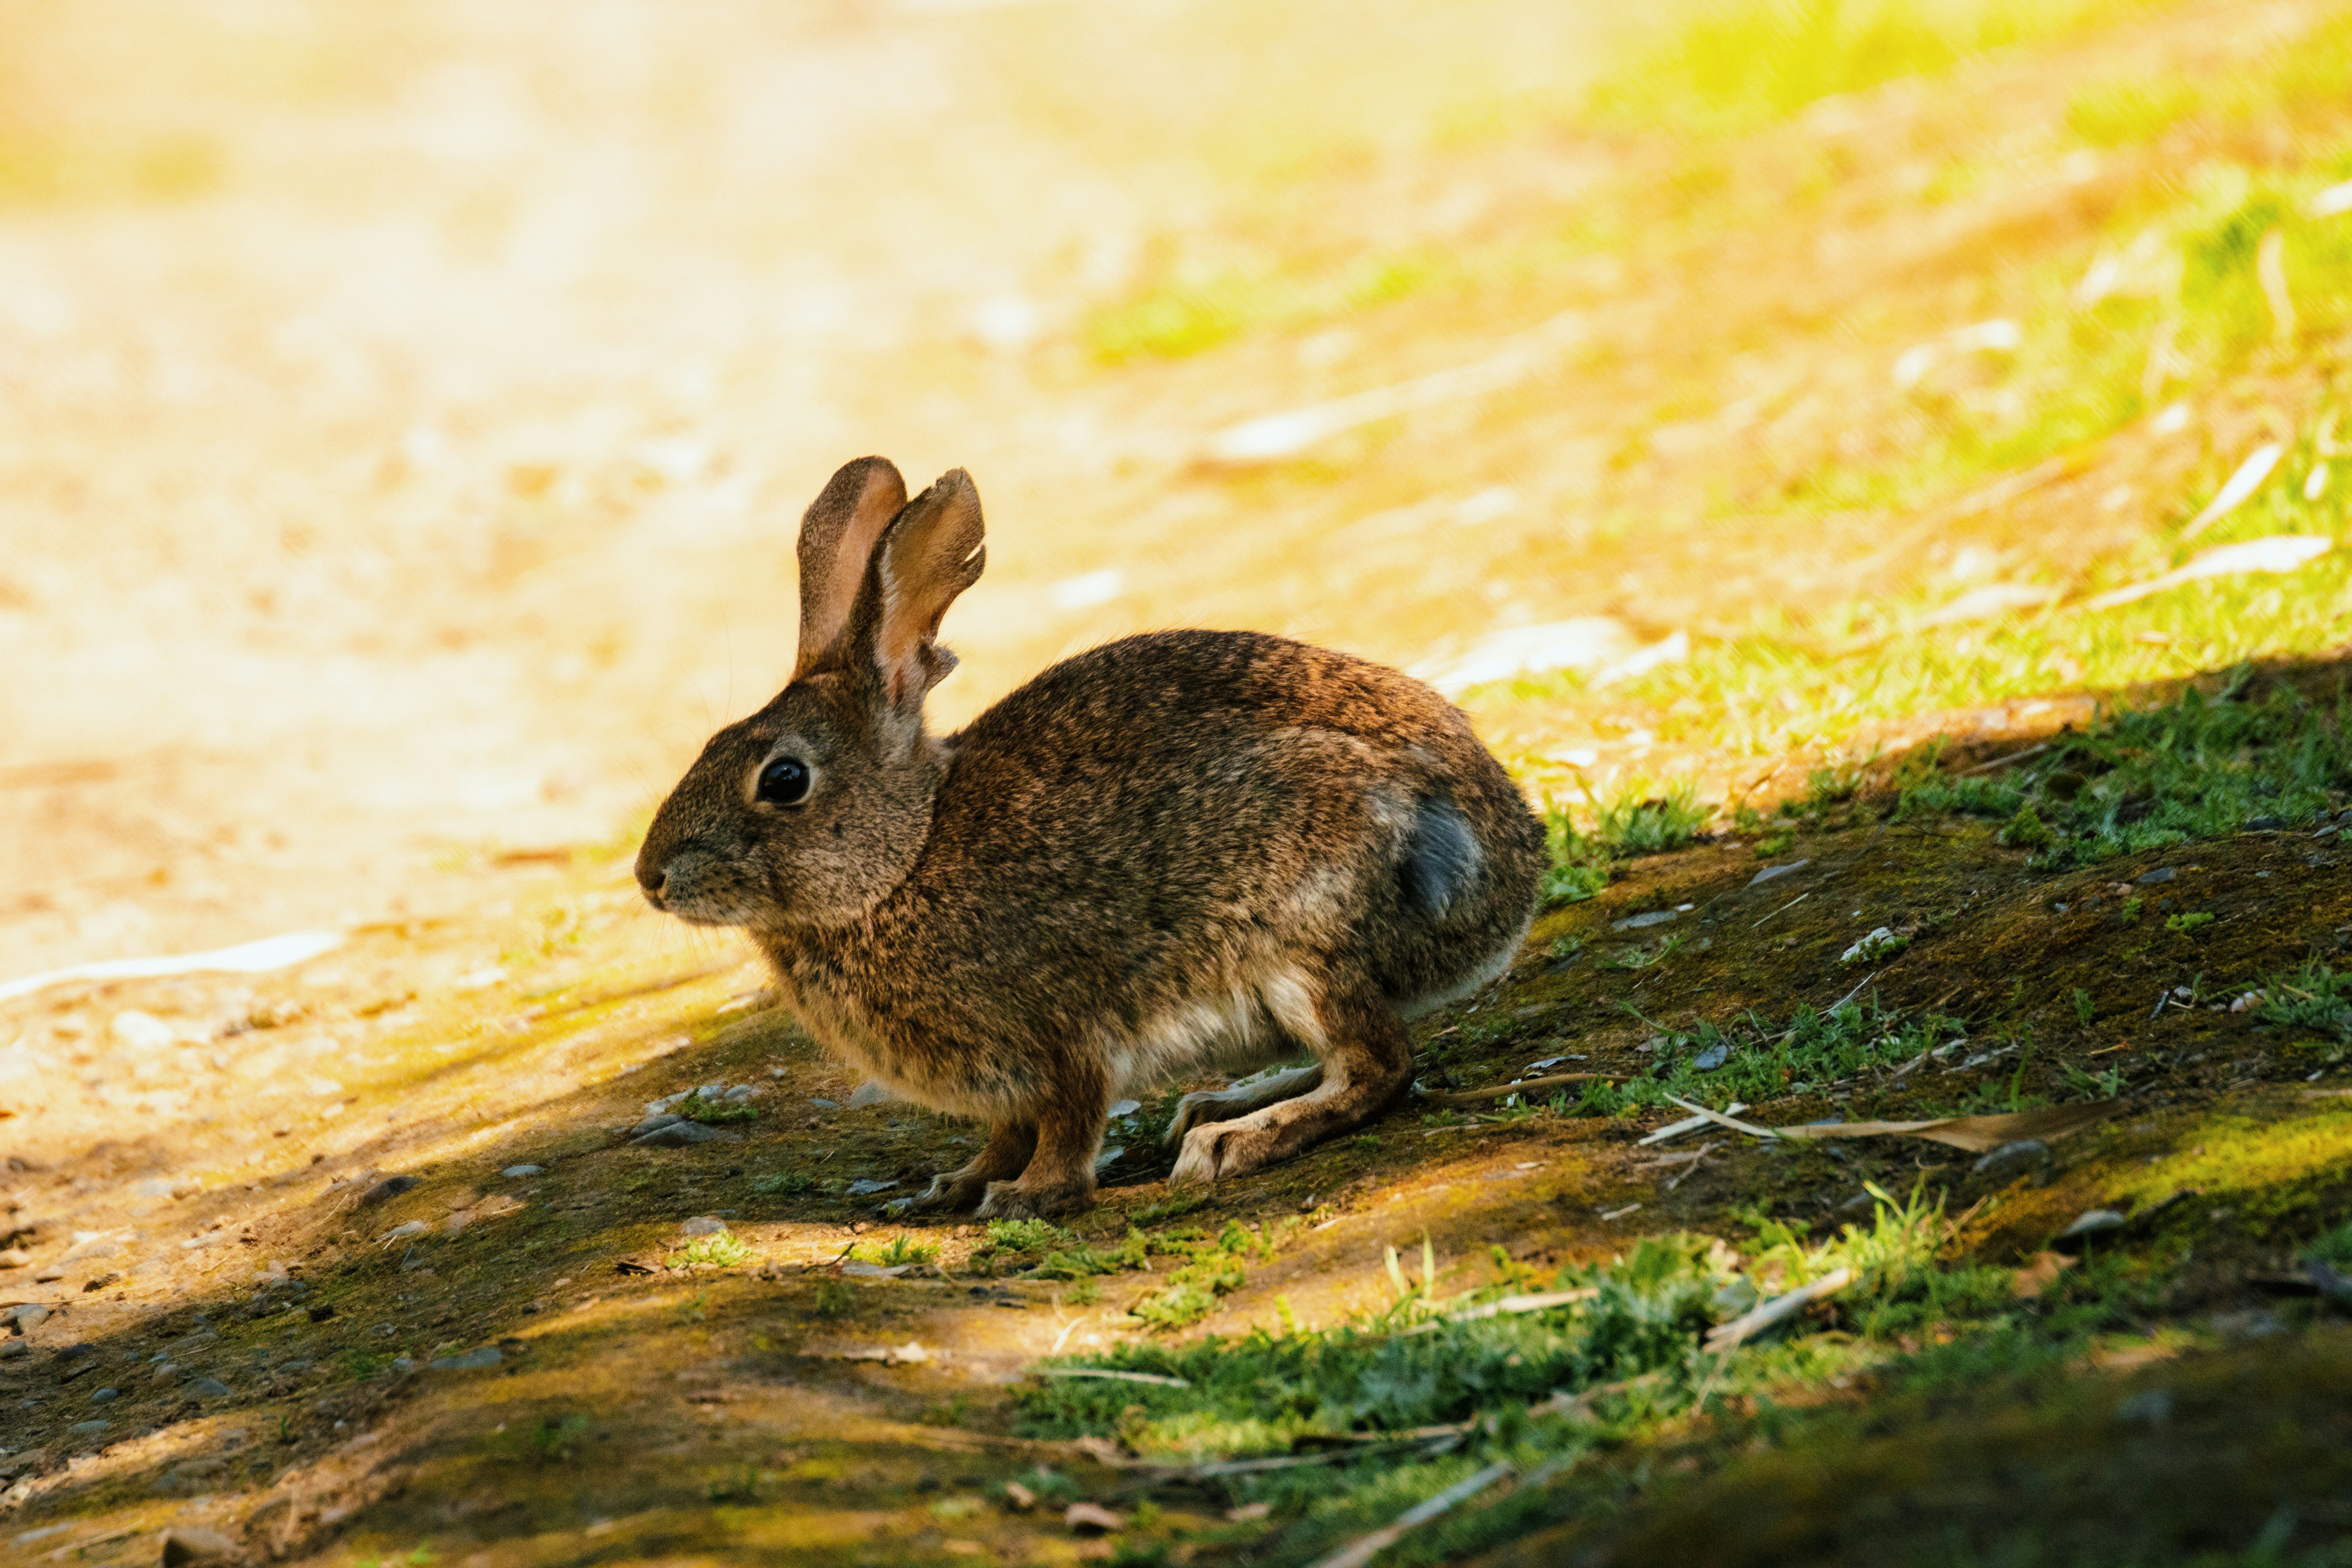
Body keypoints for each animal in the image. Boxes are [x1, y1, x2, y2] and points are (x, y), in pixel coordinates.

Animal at [635, 456, 1544, 1218]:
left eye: (784, 779)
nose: (650, 876)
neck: (905, 859)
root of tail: (1511, 866)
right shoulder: (1006, 1081)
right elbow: (1005, 1132)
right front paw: (956, 1184)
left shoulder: (1061, 1031)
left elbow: (1068, 1120)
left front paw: (1028, 1195)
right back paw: (1223, 1101)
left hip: (1303, 930)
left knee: (1379, 1065)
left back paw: (1230, 1140)